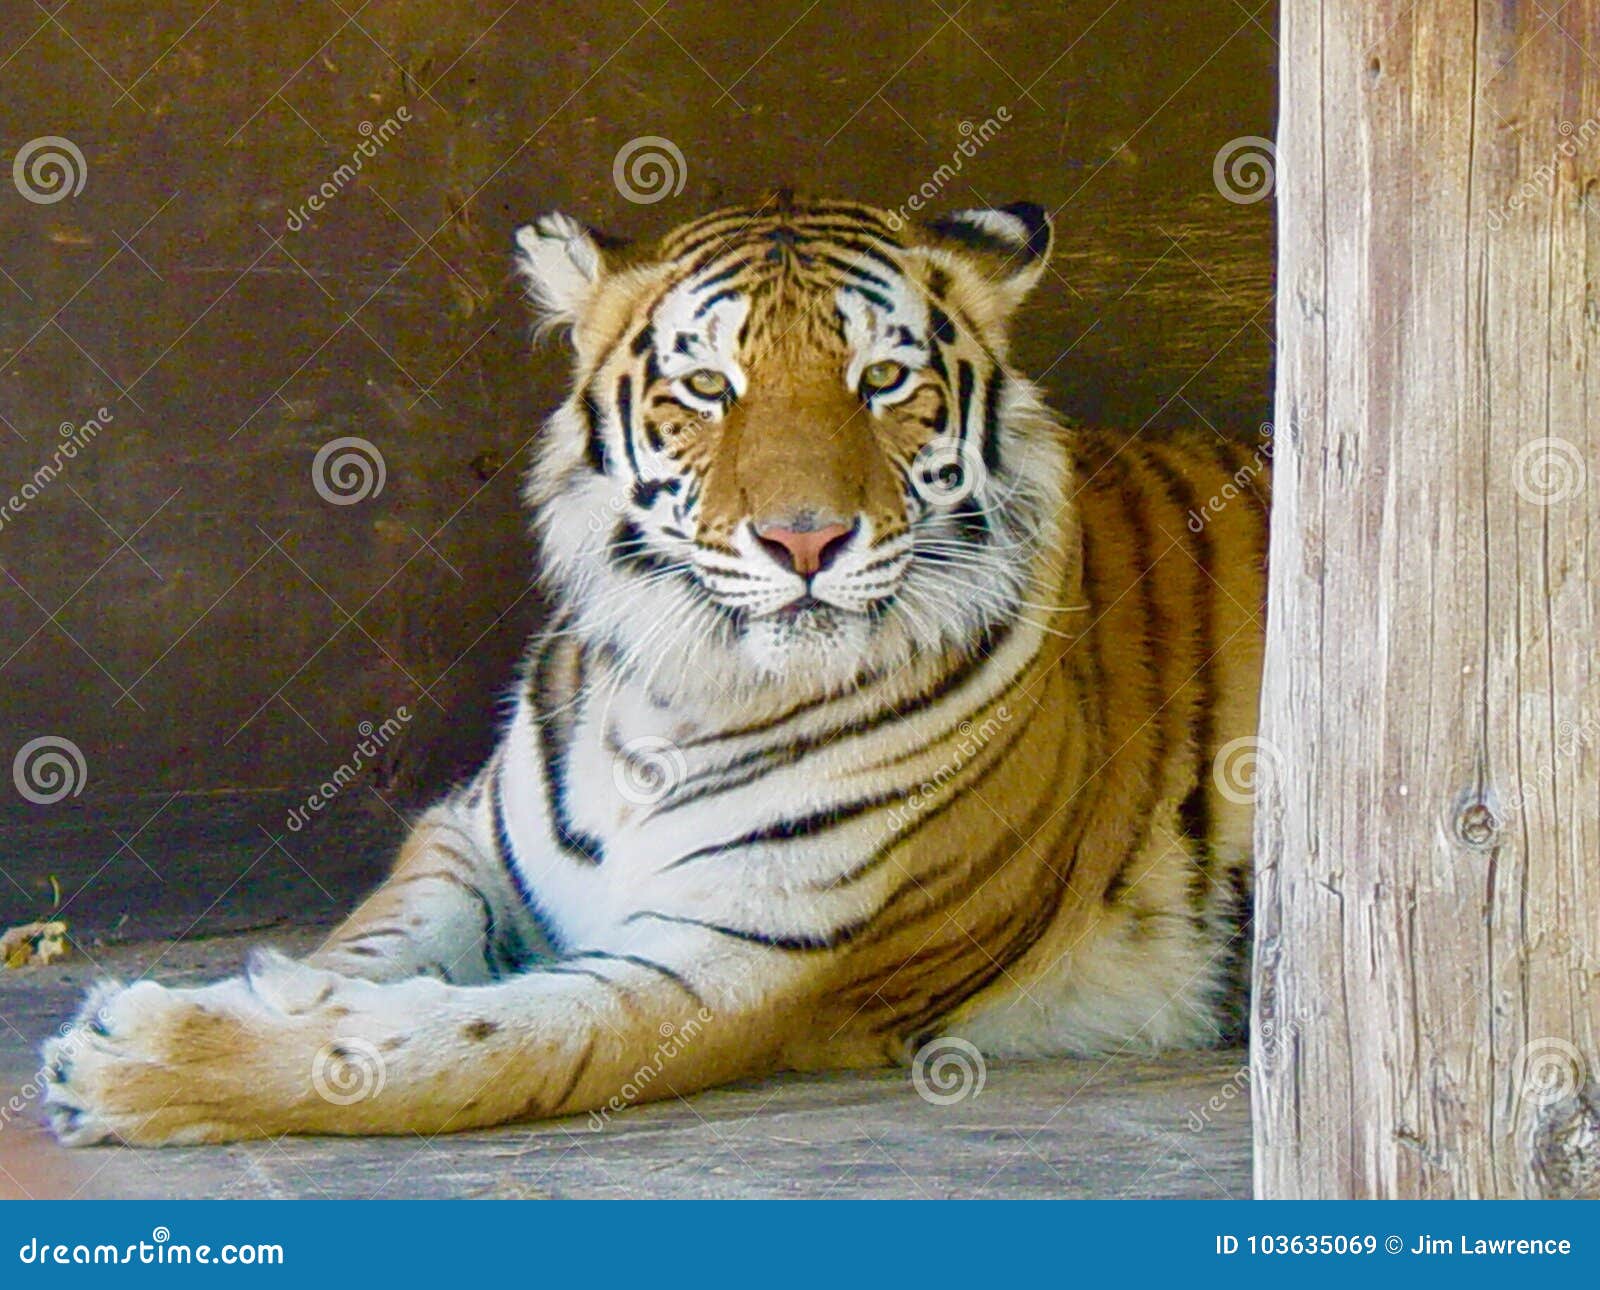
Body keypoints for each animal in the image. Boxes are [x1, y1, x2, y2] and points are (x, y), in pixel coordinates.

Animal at [44, 193, 1268, 1146]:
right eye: (709, 387)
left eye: (881, 379)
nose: (807, 541)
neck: (692, 696)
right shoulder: (465, 844)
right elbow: (381, 944)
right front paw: (289, 984)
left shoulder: (740, 962)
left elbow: (467, 1048)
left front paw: (131, 1057)